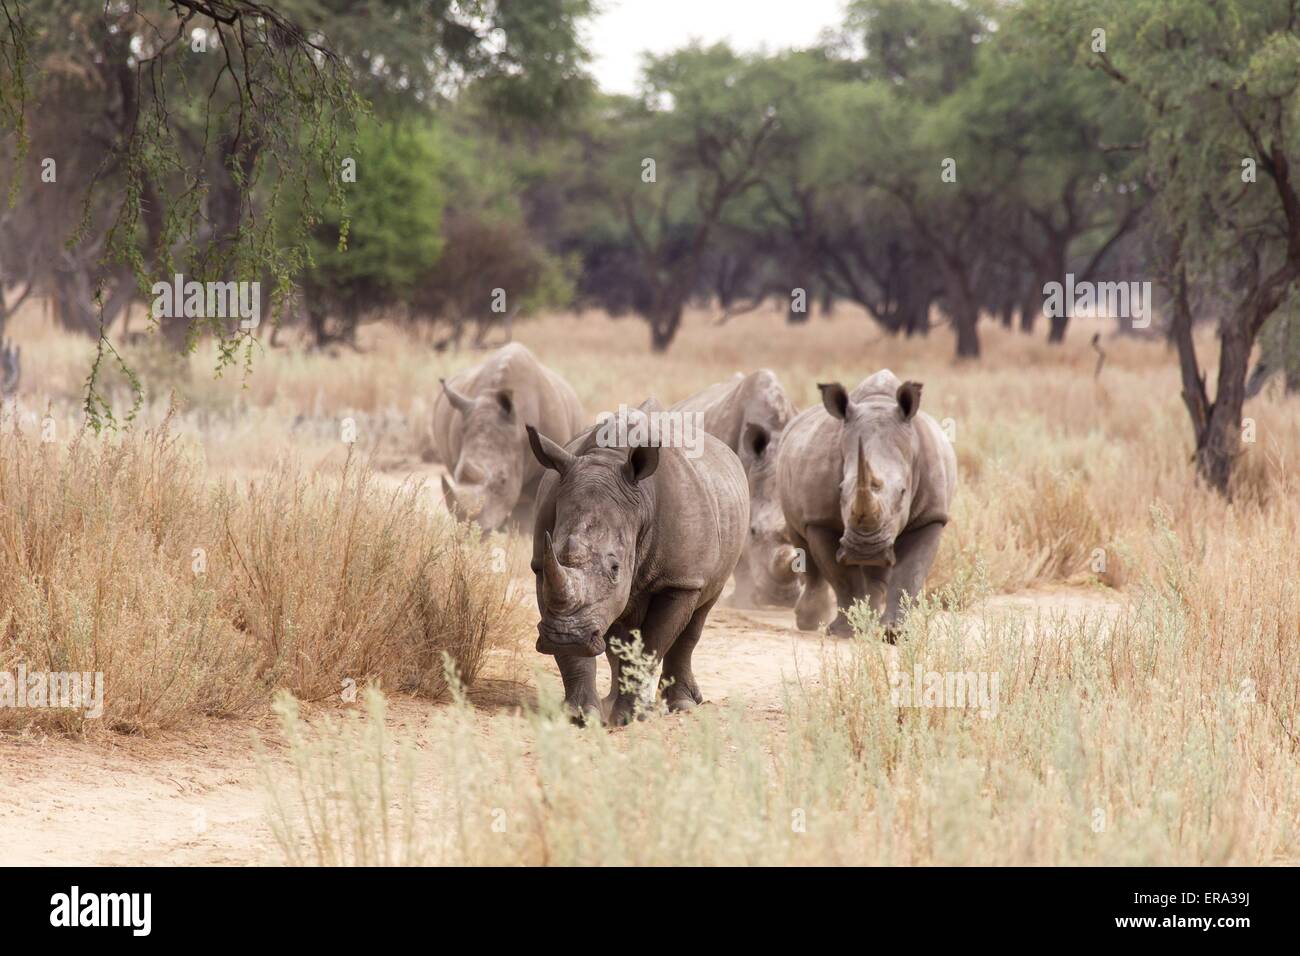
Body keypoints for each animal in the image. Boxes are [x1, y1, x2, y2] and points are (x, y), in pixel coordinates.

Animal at [527, 401, 749, 726]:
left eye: (615, 568)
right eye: (554, 554)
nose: (566, 637)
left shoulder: (679, 580)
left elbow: (653, 644)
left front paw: (626, 719)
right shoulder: (542, 569)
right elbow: (580, 652)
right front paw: (580, 716)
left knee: (697, 617)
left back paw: (682, 705)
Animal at [777, 369, 956, 638]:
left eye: (903, 492)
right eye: (840, 489)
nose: (865, 549)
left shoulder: (931, 516)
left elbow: (909, 573)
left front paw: (895, 633)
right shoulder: (819, 520)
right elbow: (842, 577)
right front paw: (845, 631)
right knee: (801, 545)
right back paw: (811, 621)